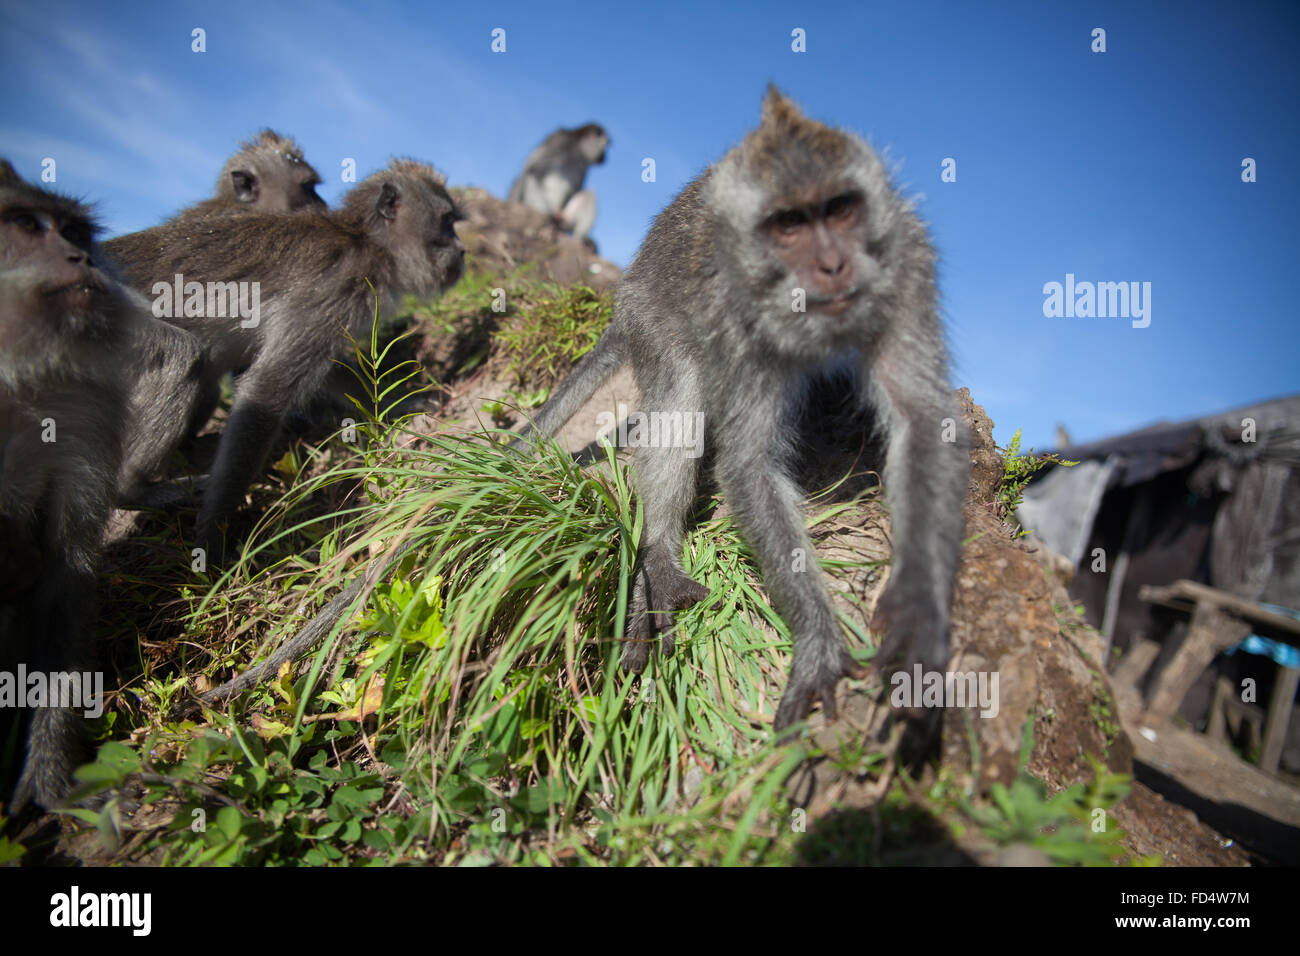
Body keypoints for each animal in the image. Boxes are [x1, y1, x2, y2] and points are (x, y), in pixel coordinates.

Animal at [105, 159, 465, 561]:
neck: (367, 244)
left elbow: (328, 371)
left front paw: (397, 402)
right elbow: (267, 392)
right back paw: (132, 490)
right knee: (180, 359)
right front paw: (215, 536)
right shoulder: (334, 290)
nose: (462, 249)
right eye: (446, 222)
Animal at [516, 88, 969, 732]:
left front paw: (919, 610)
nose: (833, 265)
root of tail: (627, 288)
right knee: (681, 391)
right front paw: (818, 638)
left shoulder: (906, 263)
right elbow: (747, 461)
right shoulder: (731, 310)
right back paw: (658, 556)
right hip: (653, 317)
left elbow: (922, 421)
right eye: (789, 225)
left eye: (840, 210)